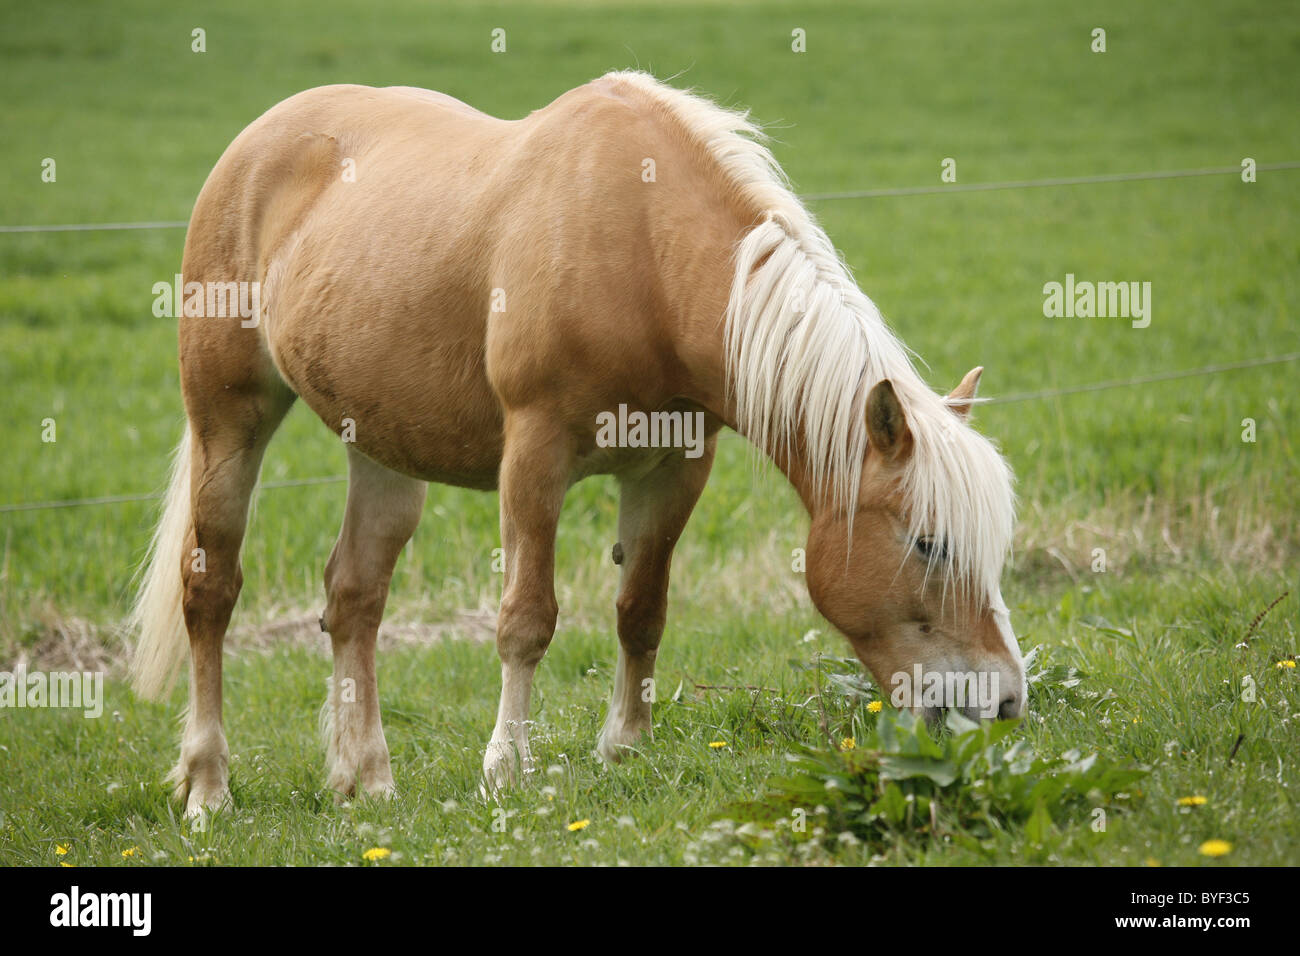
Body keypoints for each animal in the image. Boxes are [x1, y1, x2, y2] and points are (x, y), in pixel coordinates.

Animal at [128, 71, 1023, 817]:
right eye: (929, 543)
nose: (1007, 699)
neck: (645, 252)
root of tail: (259, 139)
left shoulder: (675, 468)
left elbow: (641, 612)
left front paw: (624, 749)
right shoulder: (535, 456)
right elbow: (528, 619)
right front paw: (505, 770)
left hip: (379, 447)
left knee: (354, 597)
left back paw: (366, 780)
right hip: (228, 421)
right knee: (210, 592)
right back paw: (208, 789)